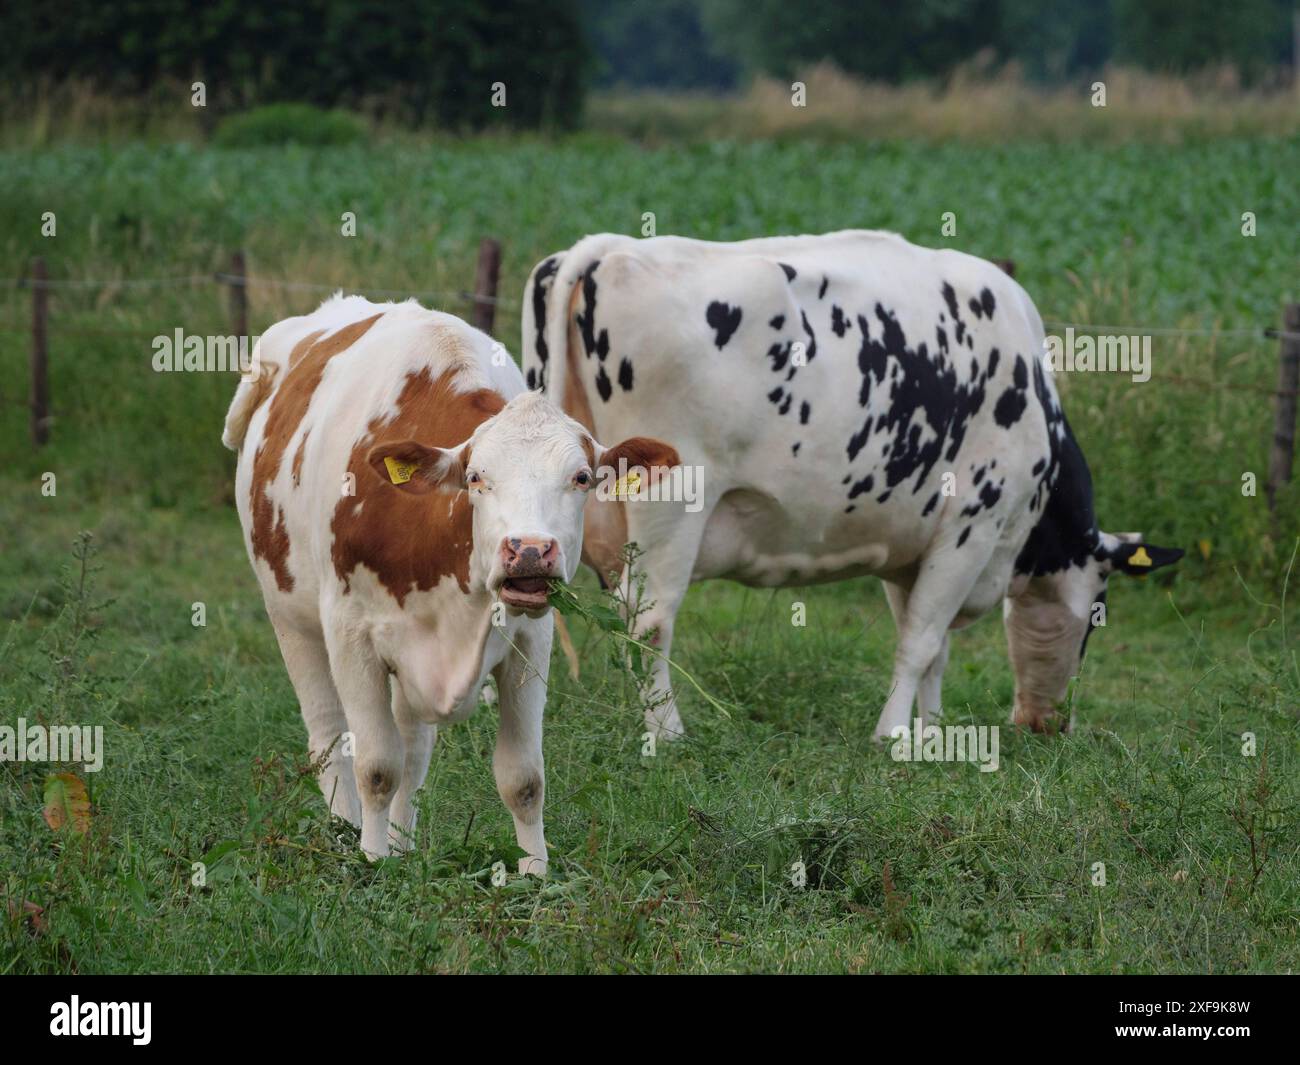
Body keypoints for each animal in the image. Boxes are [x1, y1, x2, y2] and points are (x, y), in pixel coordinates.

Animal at [223, 294, 677, 867]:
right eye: (477, 477)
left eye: (581, 478)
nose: (530, 550)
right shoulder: (351, 634)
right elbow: (376, 766)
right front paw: (371, 863)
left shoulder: (530, 639)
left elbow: (522, 779)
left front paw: (536, 872)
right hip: (289, 616)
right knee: (328, 732)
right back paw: (347, 831)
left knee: (413, 749)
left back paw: (402, 843)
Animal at [521, 231, 1183, 742]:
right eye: (1095, 613)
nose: (1049, 724)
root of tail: (607, 248)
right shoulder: (972, 523)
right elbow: (921, 642)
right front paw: (891, 736)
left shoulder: (910, 541)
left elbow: (933, 647)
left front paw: (933, 732)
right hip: (672, 506)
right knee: (650, 621)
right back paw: (667, 734)